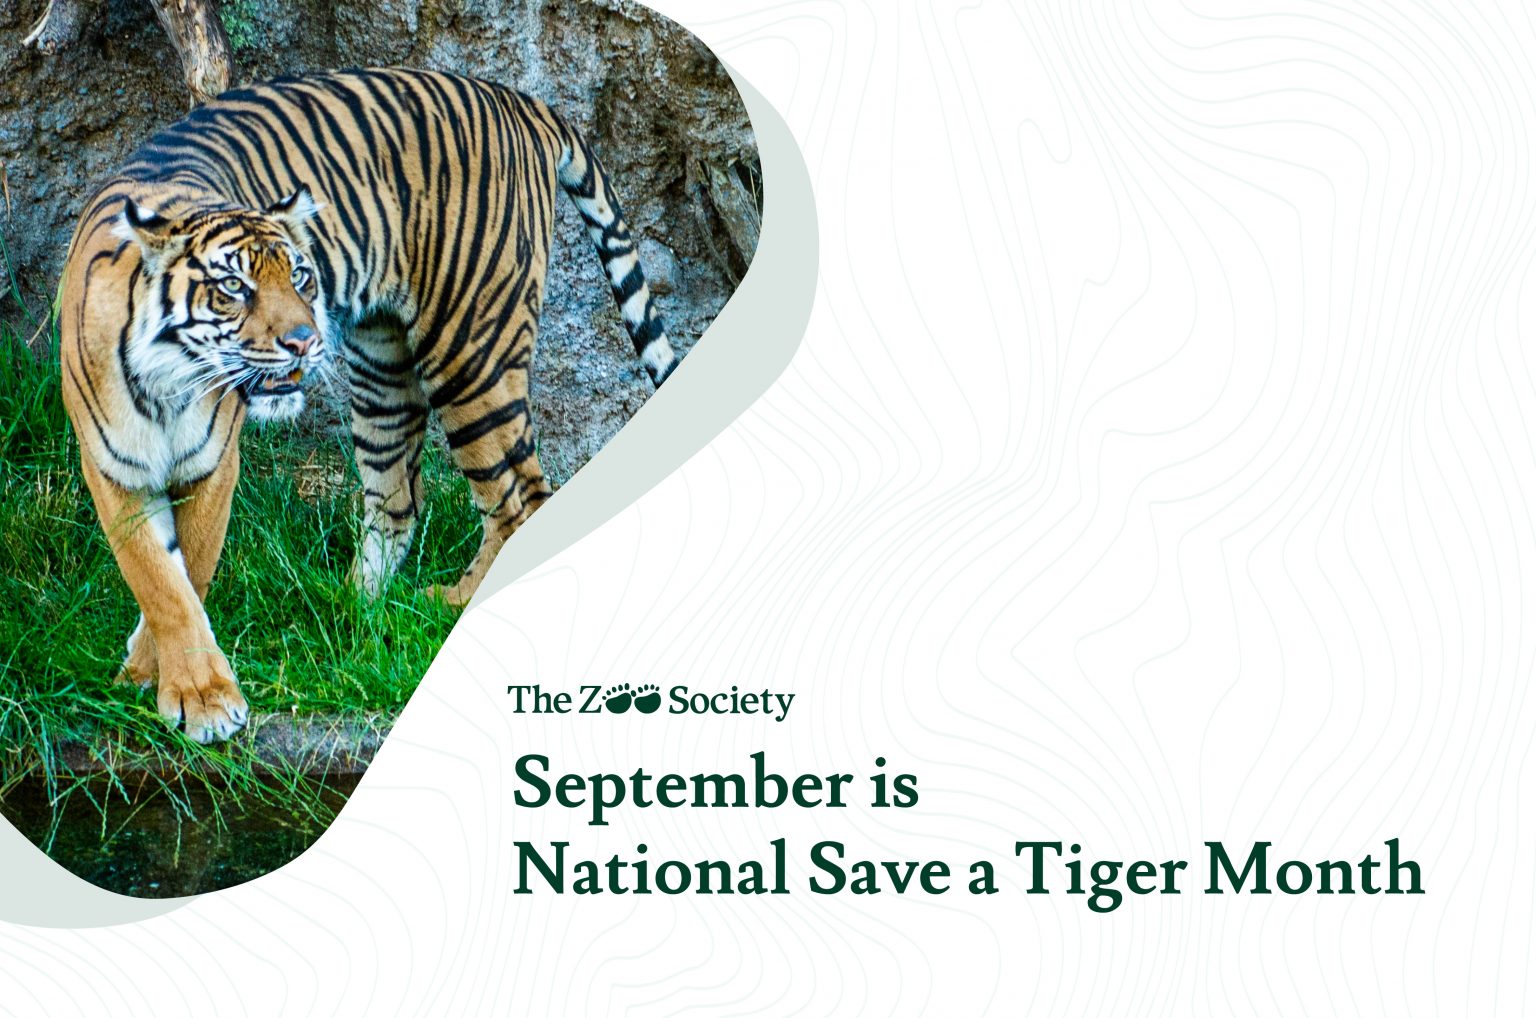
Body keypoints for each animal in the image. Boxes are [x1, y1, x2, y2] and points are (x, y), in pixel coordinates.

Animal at [59, 68, 680, 743]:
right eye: (233, 287)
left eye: (300, 277)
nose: (305, 340)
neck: (168, 382)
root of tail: (520, 101)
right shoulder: (114, 468)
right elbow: (158, 581)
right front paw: (151, 676)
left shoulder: (212, 463)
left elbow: (188, 572)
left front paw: (198, 697)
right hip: (381, 369)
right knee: (401, 500)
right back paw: (350, 608)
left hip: (469, 353)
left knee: (517, 501)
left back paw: (453, 606)